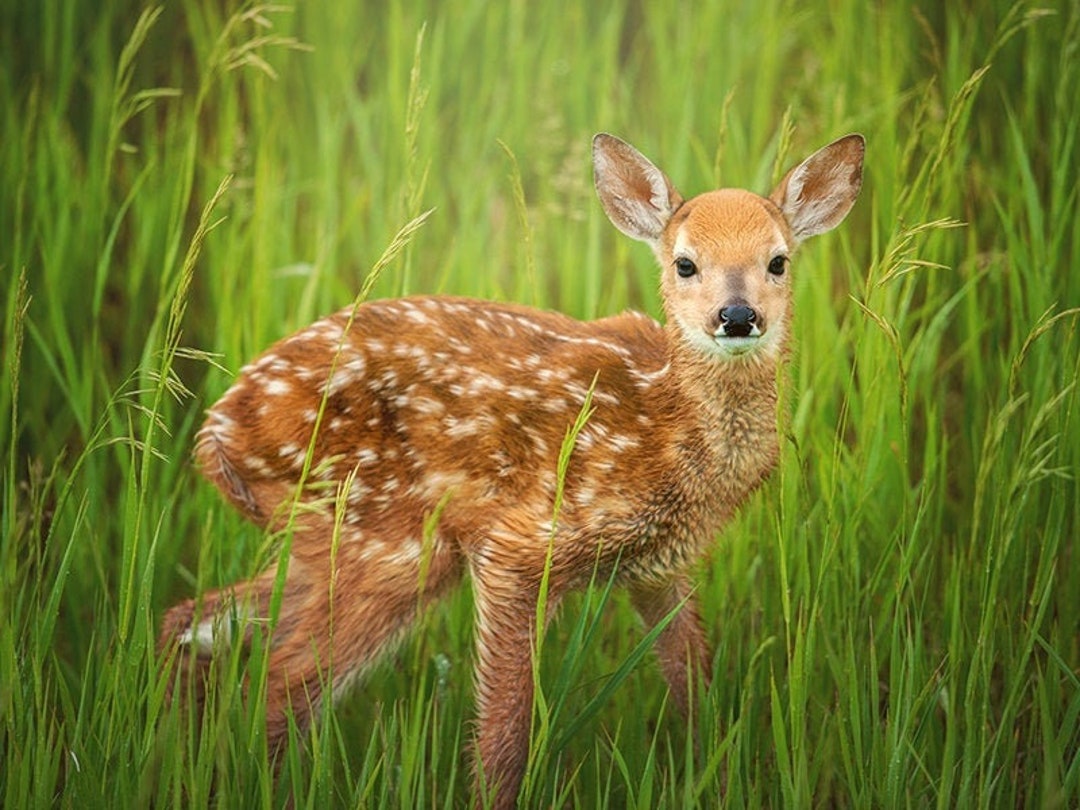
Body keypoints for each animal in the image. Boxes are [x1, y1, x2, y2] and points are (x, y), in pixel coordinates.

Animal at [160, 131, 864, 807]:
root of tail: (217, 431)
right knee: (277, 688)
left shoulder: (660, 566)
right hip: (385, 543)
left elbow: (700, 697)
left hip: (327, 542)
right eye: (684, 263)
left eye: (779, 260)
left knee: (193, 626)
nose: (738, 316)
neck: (667, 432)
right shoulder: (521, 545)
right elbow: (504, 735)